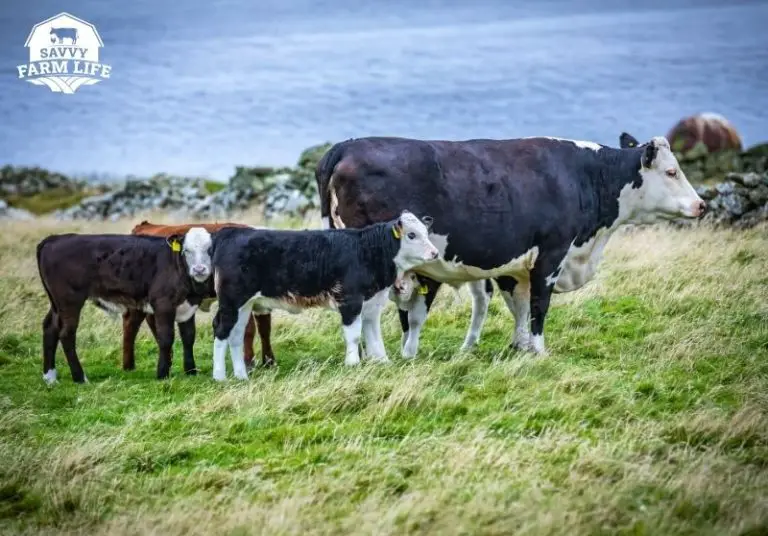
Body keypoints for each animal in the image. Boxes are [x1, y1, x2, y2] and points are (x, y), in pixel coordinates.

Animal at [36, 227, 214, 384]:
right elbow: (166, 338)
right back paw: (80, 378)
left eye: (209, 250)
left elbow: (189, 337)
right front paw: (162, 374)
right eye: (186, 250)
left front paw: (191, 371)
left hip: (57, 303)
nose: (199, 269)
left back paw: (50, 377)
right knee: (67, 334)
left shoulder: (188, 307)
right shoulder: (163, 305)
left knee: (50, 327)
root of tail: (54, 239)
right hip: (70, 301)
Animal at [128, 220, 275, 371]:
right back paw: (129, 365)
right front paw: (249, 364)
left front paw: (269, 362)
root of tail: (147, 225)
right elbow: (247, 330)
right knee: (131, 323)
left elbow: (265, 328)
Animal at [208, 210, 439, 381]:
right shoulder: (350, 301)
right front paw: (353, 364)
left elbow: (374, 335)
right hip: (231, 301)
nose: (435, 253)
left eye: (426, 232)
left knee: (236, 335)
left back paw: (241, 376)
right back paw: (220, 377)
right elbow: (354, 335)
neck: (366, 251)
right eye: (411, 235)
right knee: (221, 331)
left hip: (244, 304)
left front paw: (382, 361)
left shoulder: (372, 303)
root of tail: (229, 233)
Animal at [315, 134, 706, 358]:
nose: (701, 205)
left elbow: (517, 305)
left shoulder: (513, 262)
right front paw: (539, 352)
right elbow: (538, 306)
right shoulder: (552, 252)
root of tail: (347, 145)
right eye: (672, 172)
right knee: (368, 313)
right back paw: (376, 357)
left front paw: (519, 347)